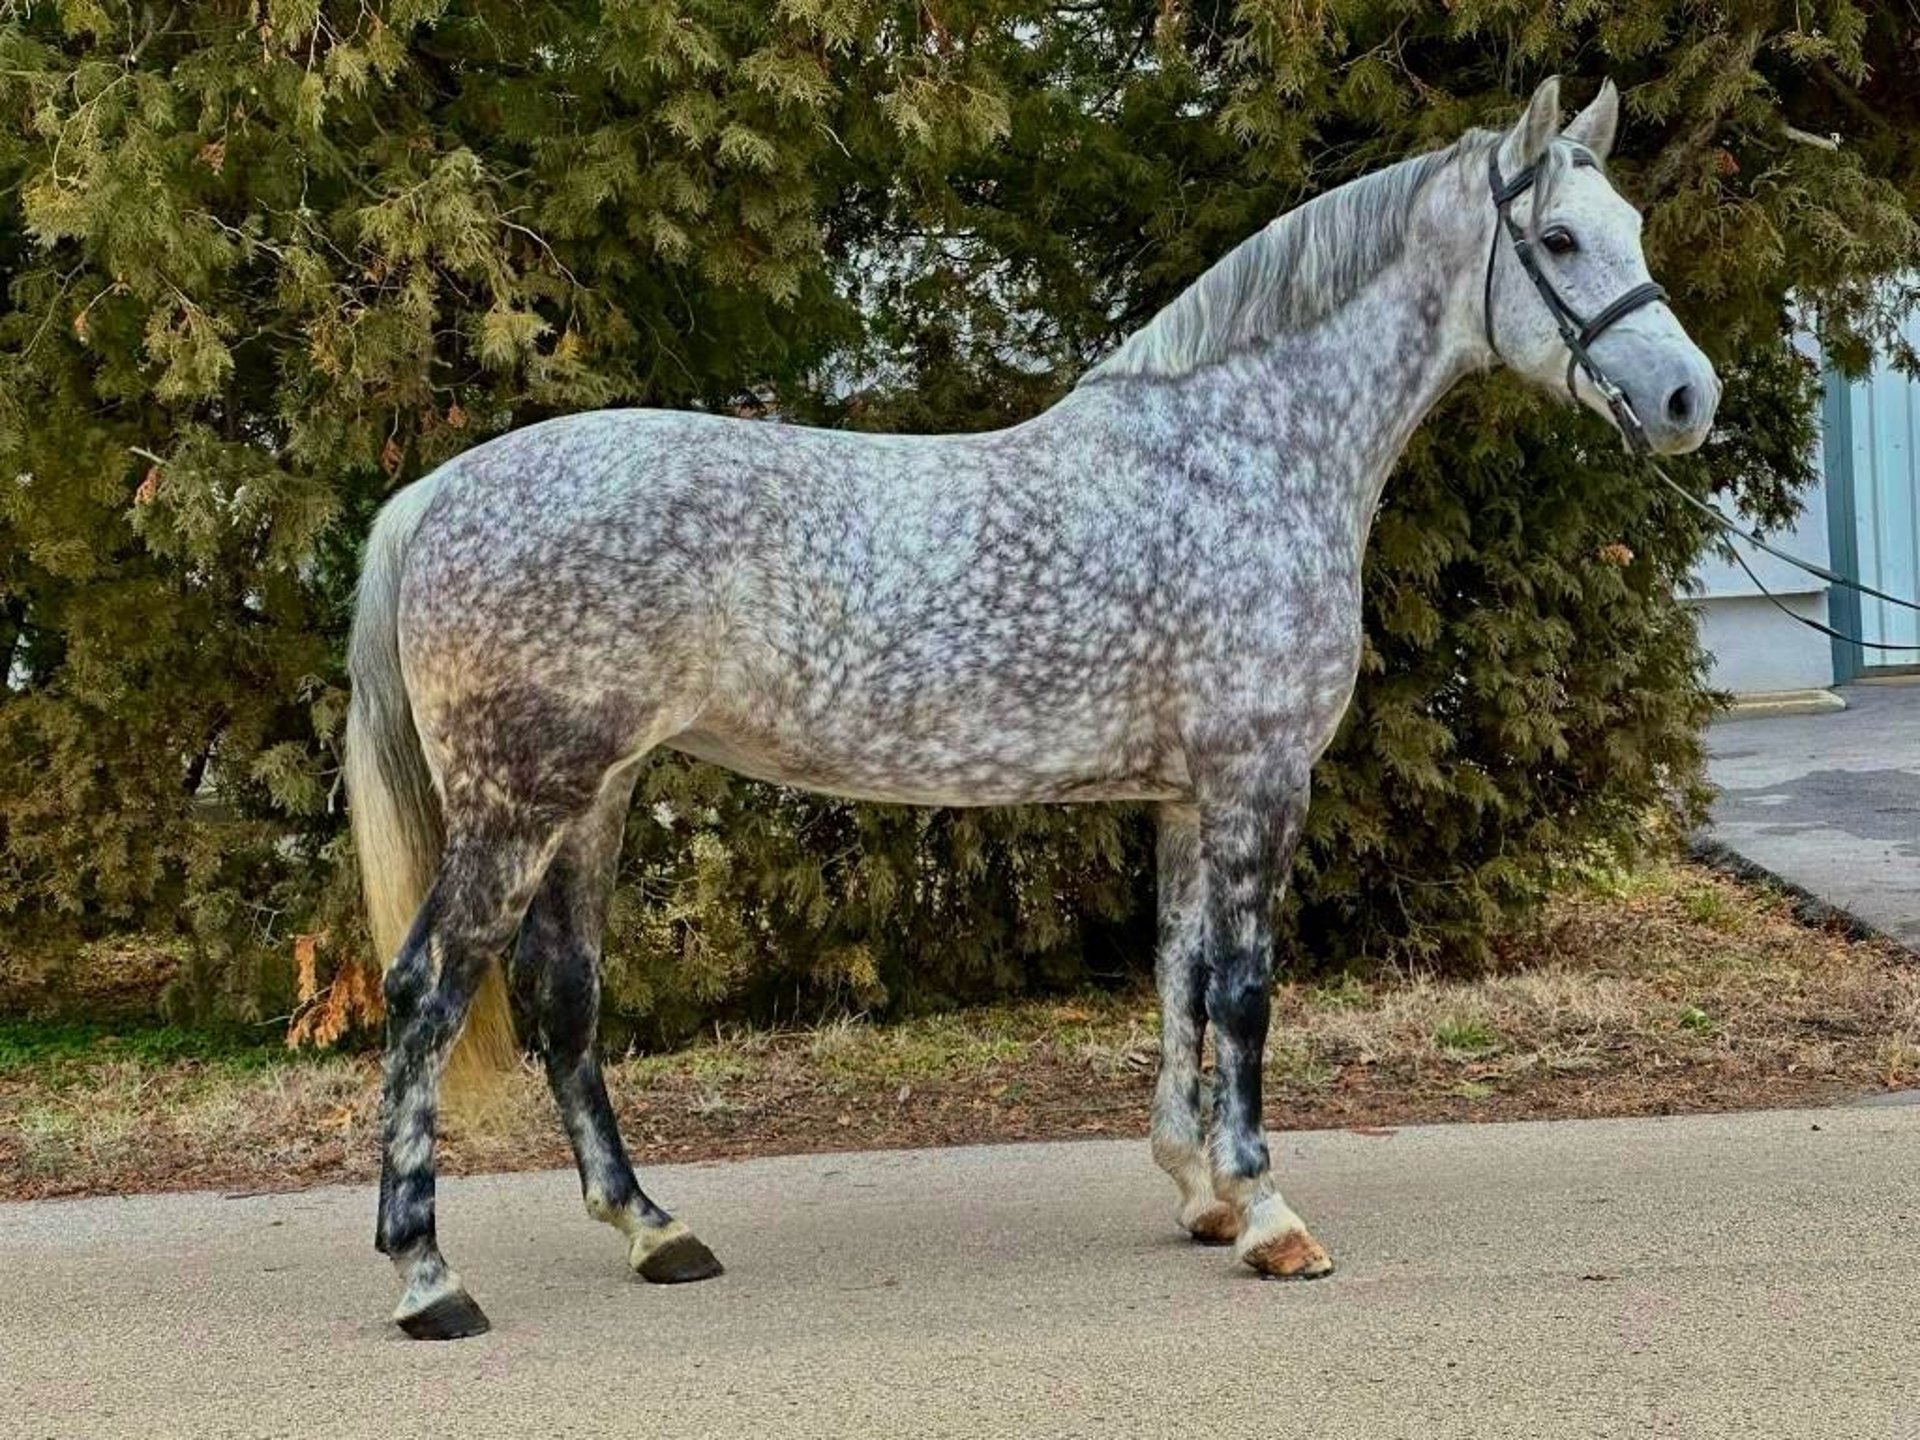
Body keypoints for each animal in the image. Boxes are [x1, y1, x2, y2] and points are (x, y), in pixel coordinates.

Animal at [345, 75, 1719, 1339]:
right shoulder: (1259, 779)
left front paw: (1200, 1193)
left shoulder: (1187, 796)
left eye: (1636, 224)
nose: (1687, 401)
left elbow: (1178, 978)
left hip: (595, 798)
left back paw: (653, 1230)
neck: (1242, 452)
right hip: (518, 808)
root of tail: (439, 493)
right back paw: (428, 1279)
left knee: (562, 999)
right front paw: (1271, 1219)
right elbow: (1246, 994)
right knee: (424, 993)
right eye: (1557, 241)